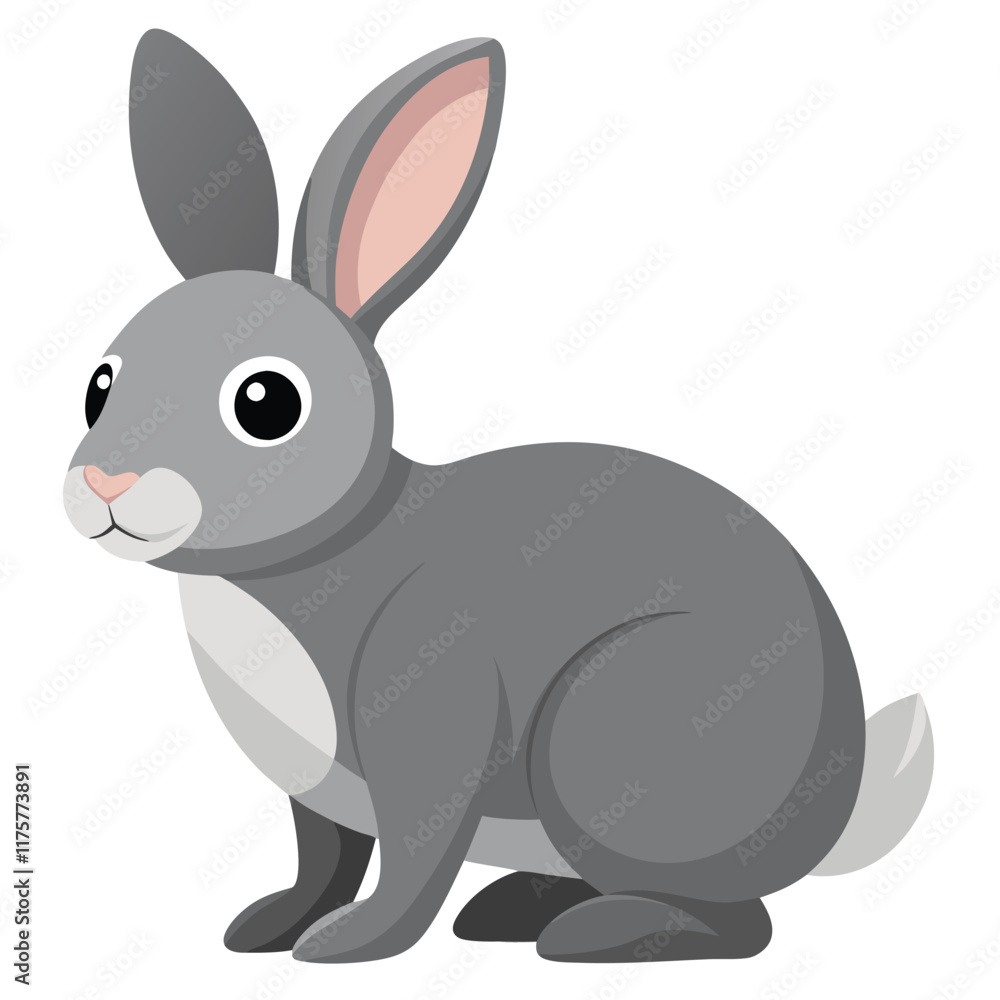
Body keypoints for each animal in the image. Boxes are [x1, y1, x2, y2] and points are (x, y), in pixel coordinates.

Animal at [64, 29, 934, 964]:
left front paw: (350, 945)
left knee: (742, 923)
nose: (105, 484)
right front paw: (269, 928)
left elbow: (413, 855)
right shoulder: (314, 785)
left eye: (267, 403)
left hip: (610, 745)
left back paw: (591, 934)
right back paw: (512, 912)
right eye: (99, 386)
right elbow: (323, 857)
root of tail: (834, 807)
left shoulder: (428, 719)